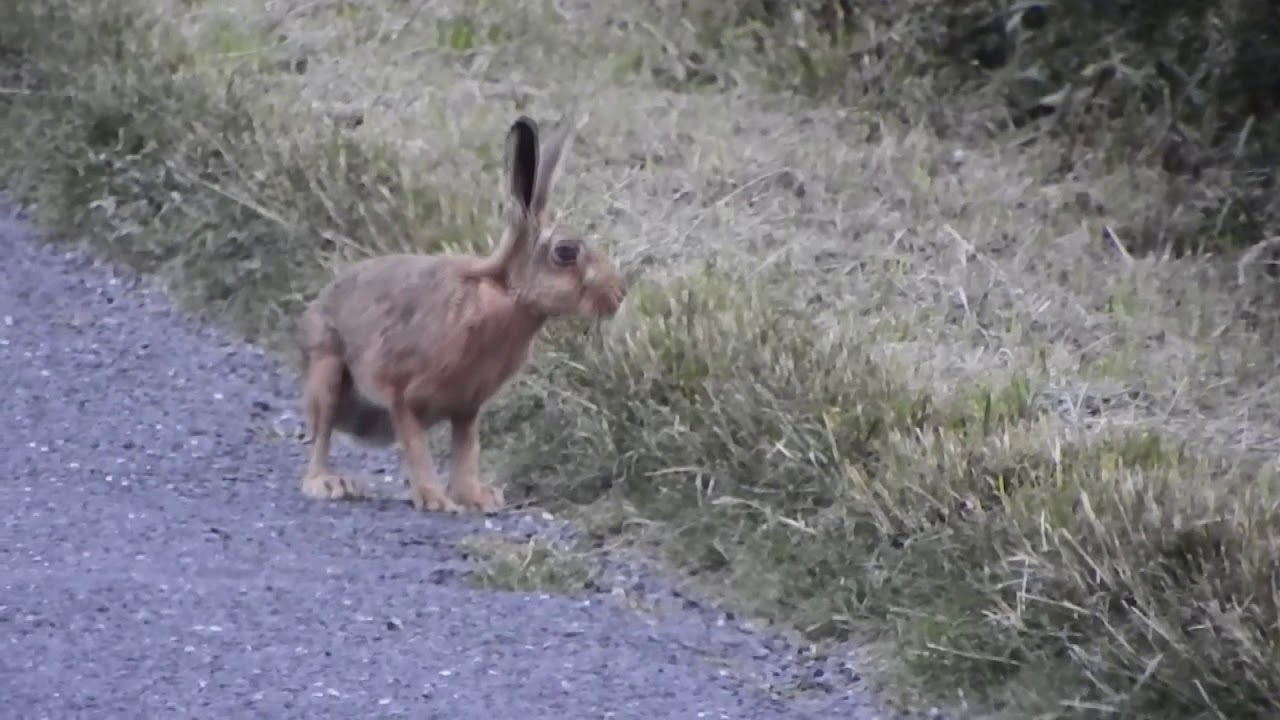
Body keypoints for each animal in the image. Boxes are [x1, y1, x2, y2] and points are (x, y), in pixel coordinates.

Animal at [295, 112, 627, 513]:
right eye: (566, 252)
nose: (619, 294)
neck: (506, 295)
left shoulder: (468, 405)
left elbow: (466, 451)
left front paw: (477, 497)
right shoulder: (402, 393)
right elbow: (417, 448)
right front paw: (435, 499)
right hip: (327, 369)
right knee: (321, 432)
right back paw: (328, 483)